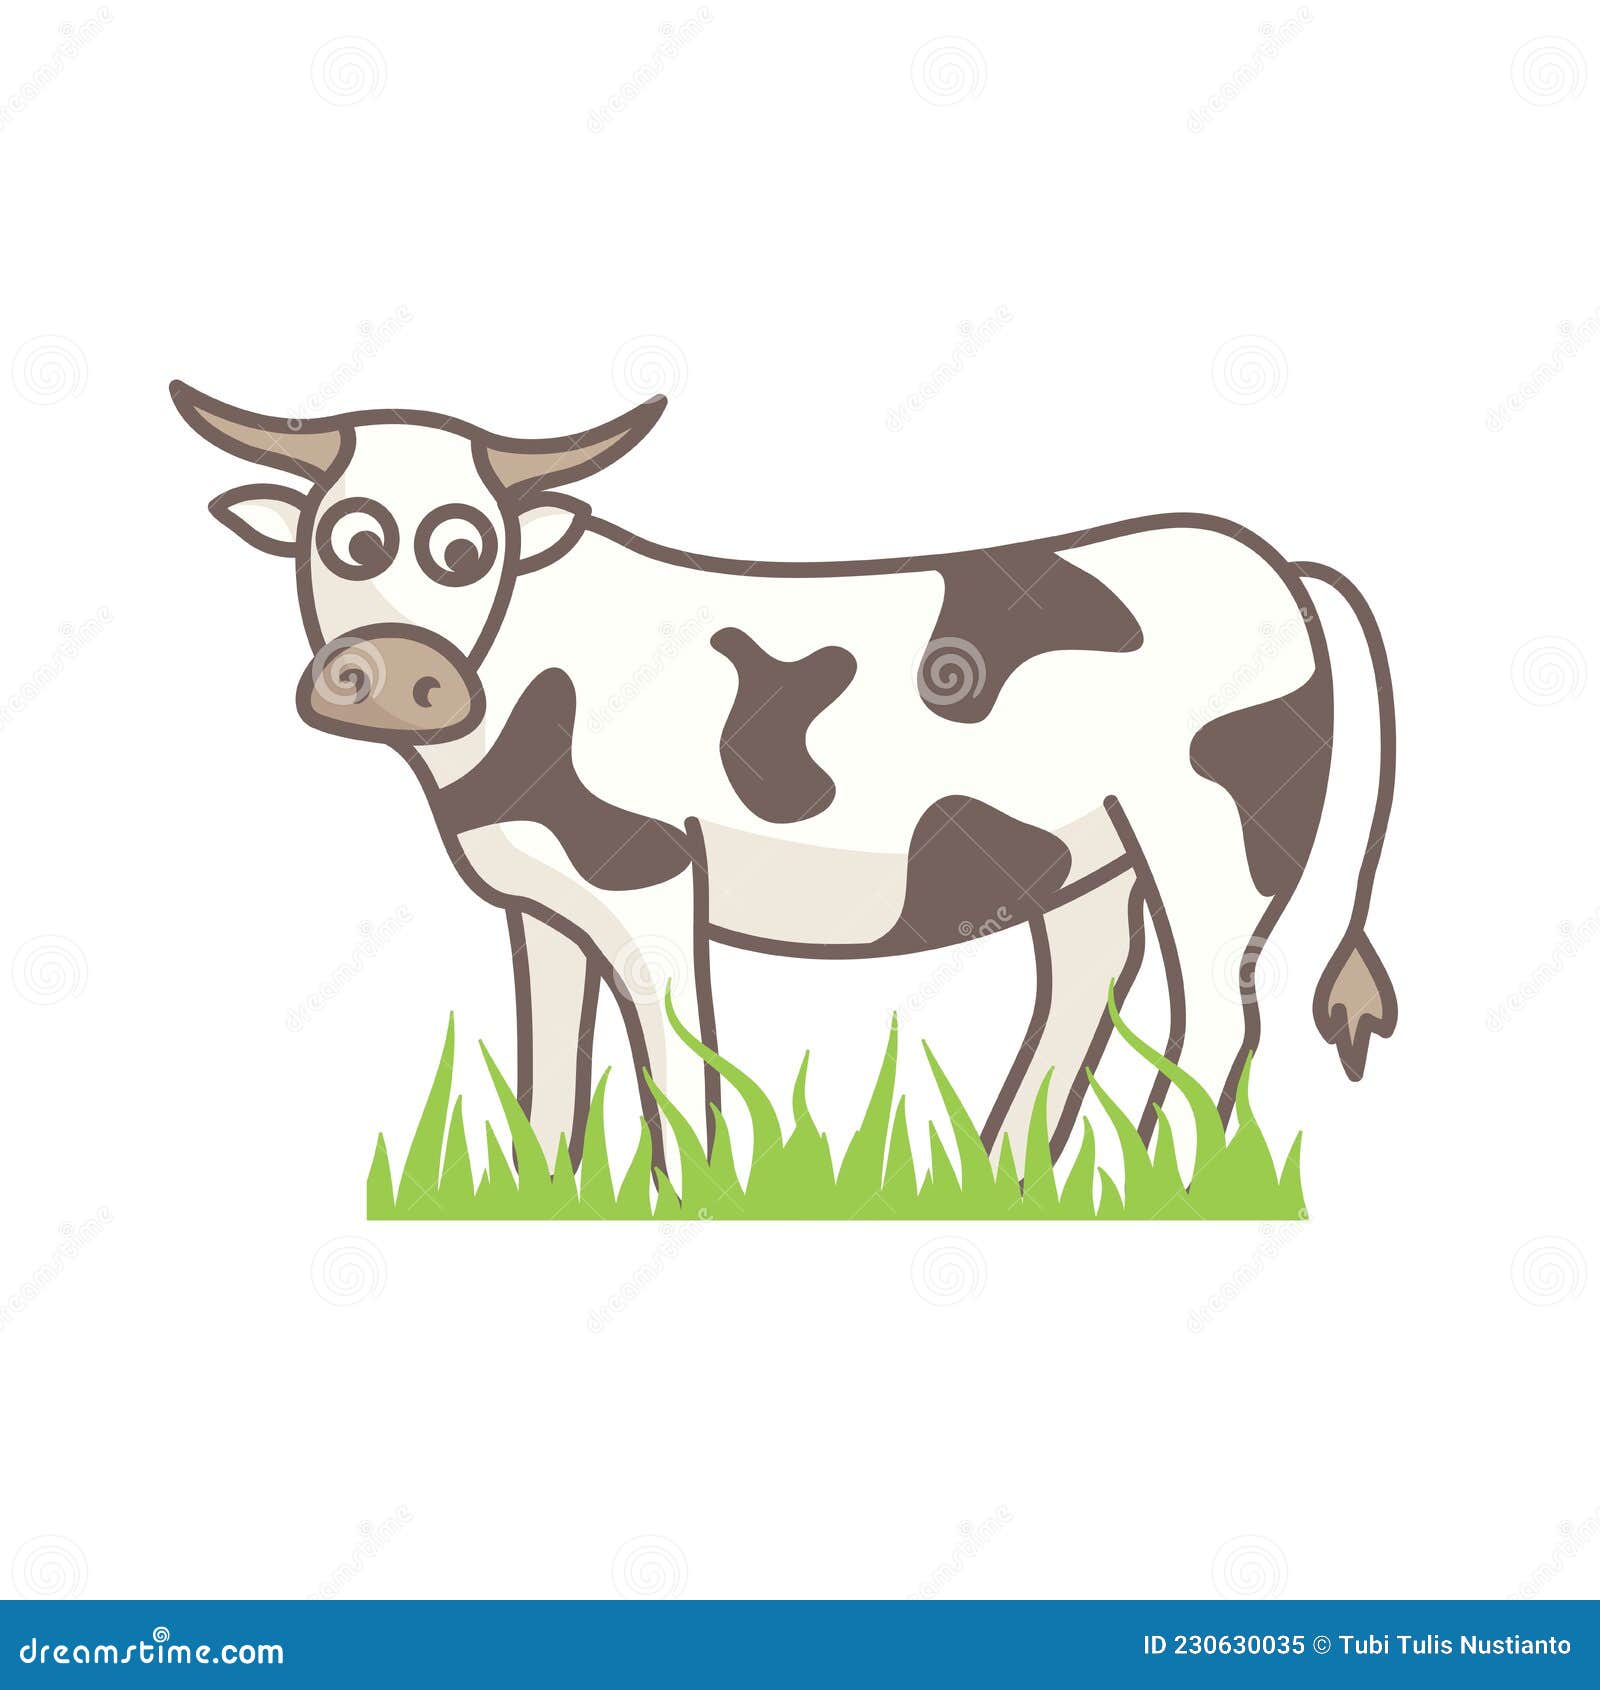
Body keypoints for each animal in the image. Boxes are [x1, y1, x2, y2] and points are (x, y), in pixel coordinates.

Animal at [171, 380, 1397, 1180]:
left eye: (467, 547)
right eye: (345, 539)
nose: (394, 677)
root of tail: (1276, 563)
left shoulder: (653, 869)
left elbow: (671, 1043)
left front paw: (688, 1195)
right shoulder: (538, 894)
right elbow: (548, 1049)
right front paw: (545, 1186)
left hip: (1213, 837)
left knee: (1217, 1003)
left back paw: (1160, 1171)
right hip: (1085, 850)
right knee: (1090, 974)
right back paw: (1008, 1170)